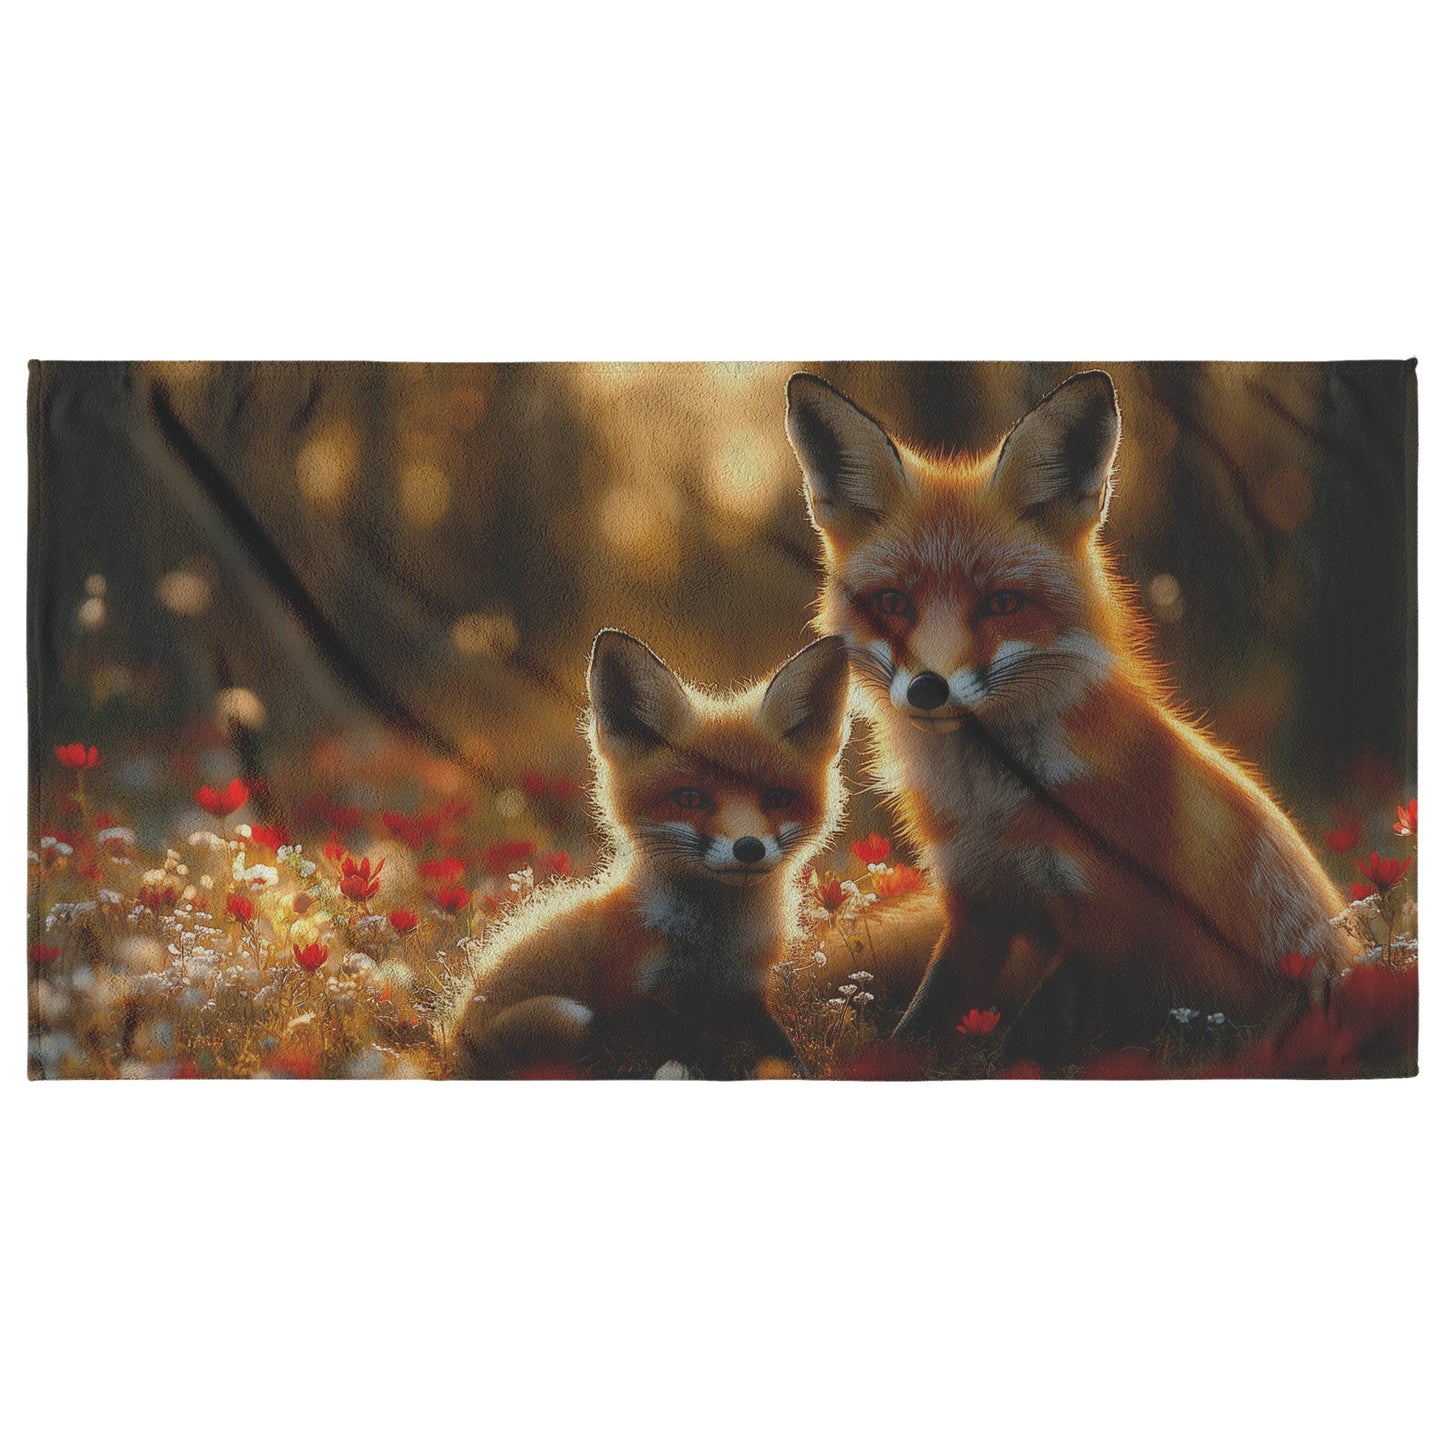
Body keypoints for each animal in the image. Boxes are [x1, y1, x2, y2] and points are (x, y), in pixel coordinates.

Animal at [453, 628, 851, 1078]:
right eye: (690, 798)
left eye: (778, 798)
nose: (748, 848)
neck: (715, 944)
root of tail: (451, 1039)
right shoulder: (632, 995)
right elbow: (690, 1046)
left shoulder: (746, 991)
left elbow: (782, 1051)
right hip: (566, 1016)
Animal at [785, 369, 1347, 1065]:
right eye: (892, 603)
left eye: (1002, 604)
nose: (928, 690)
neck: (991, 804)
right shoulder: (975, 906)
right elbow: (923, 1018)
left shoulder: (1109, 919)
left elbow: (1019, 1049)